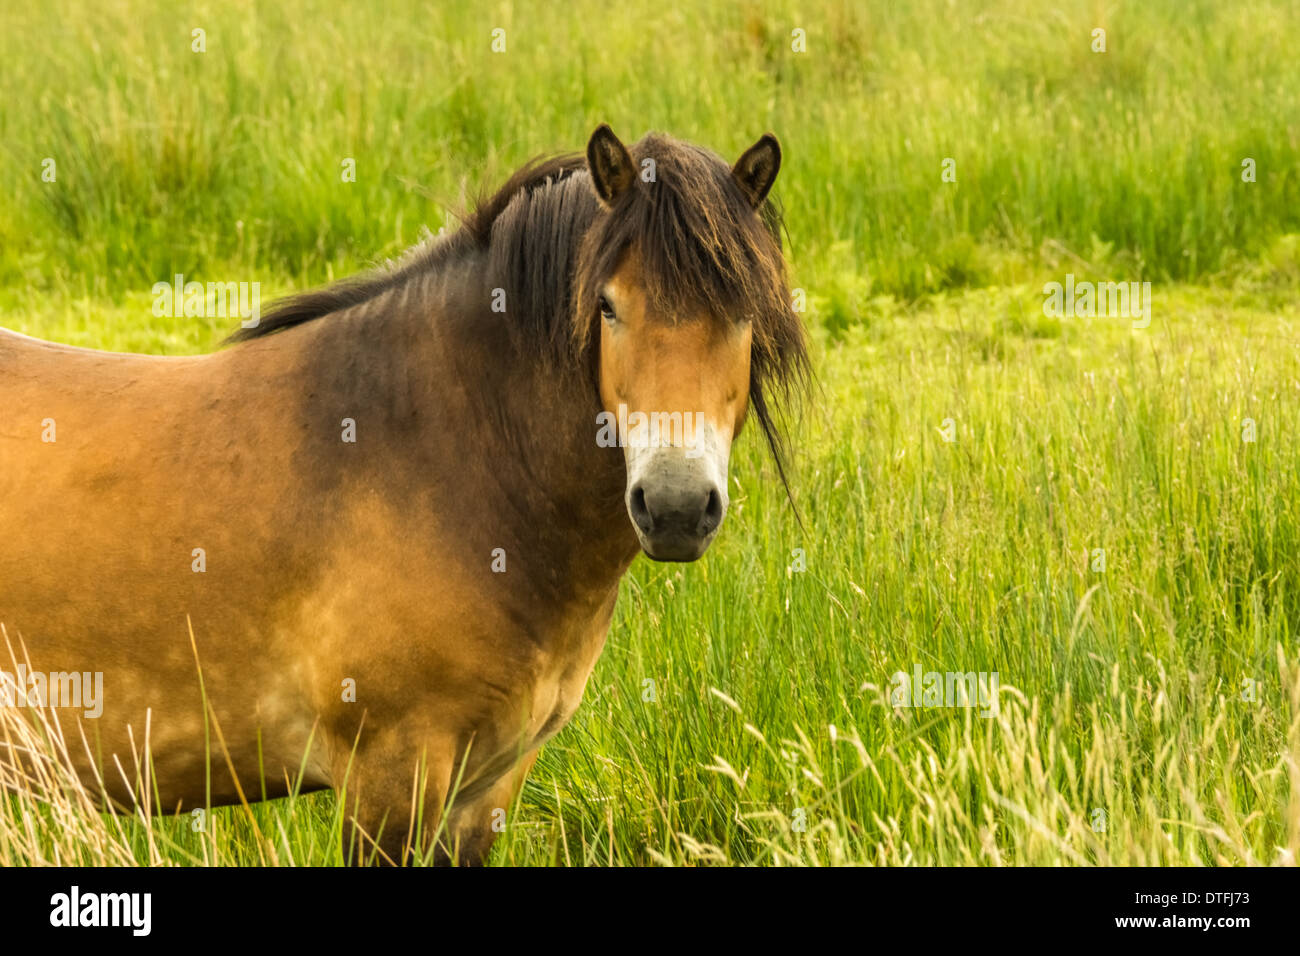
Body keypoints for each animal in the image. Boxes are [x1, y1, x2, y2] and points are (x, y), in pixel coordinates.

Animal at [0, 124, 809, 864]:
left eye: (745, 311)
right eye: (607, 306)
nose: (675, 507)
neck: (450, 465)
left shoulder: (488, 787)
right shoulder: (390, 776)